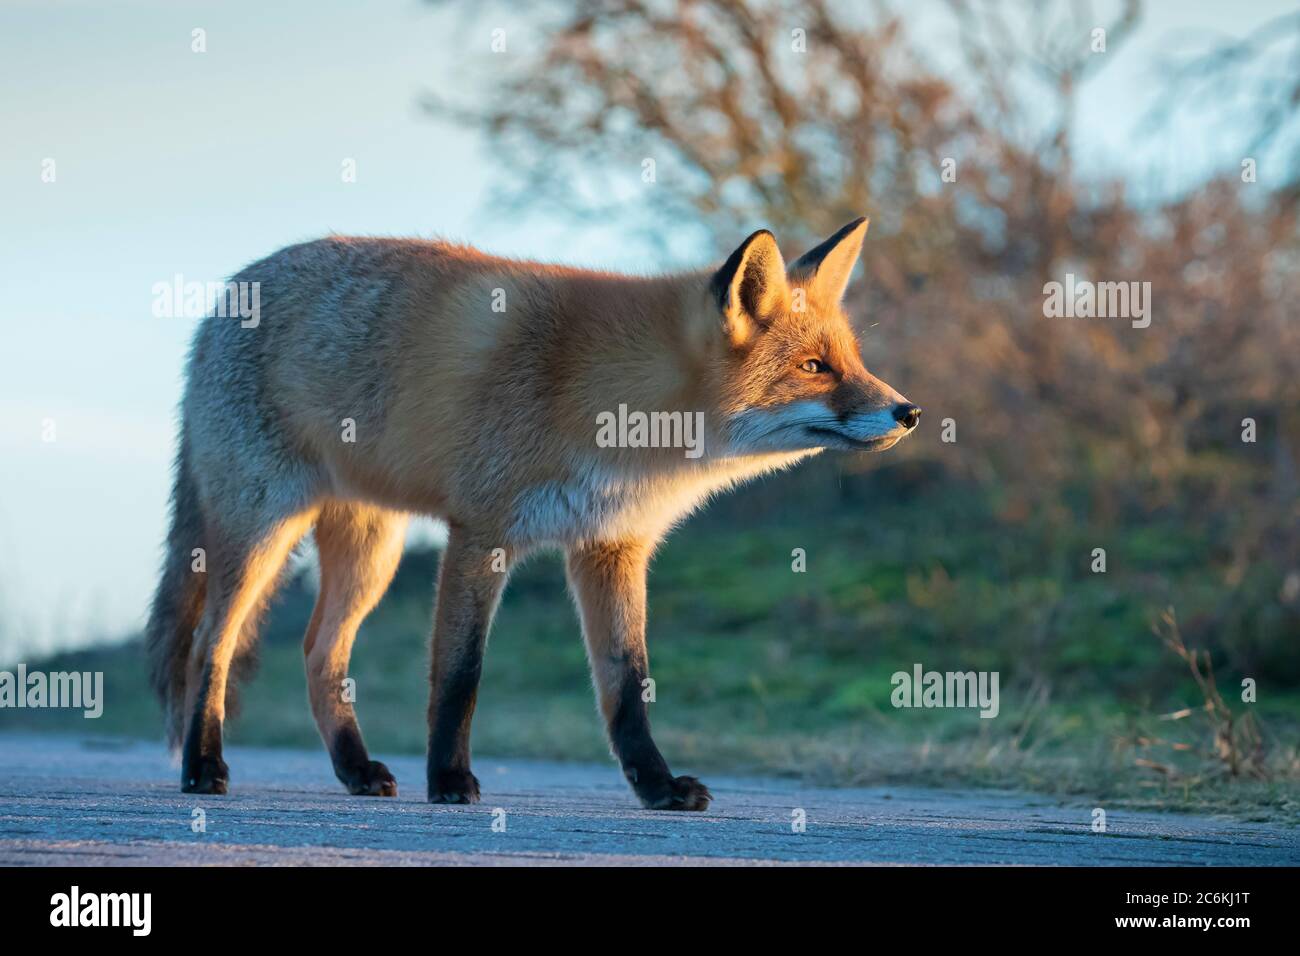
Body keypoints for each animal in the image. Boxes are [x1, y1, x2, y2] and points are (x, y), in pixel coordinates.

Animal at [145, 216, 919, 811]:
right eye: (814, 368)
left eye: (851, 360)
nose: (909, 412)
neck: (616, 409)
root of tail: (225, 297)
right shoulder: (481, 532)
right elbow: (461, 675)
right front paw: (449, 780)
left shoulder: (610, 546)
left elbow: (627, 687)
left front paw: (657, 787)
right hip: (262, 531)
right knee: (211, 644)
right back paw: (202, 767)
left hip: (372, 553)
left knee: (318, 652)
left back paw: (354, 769)